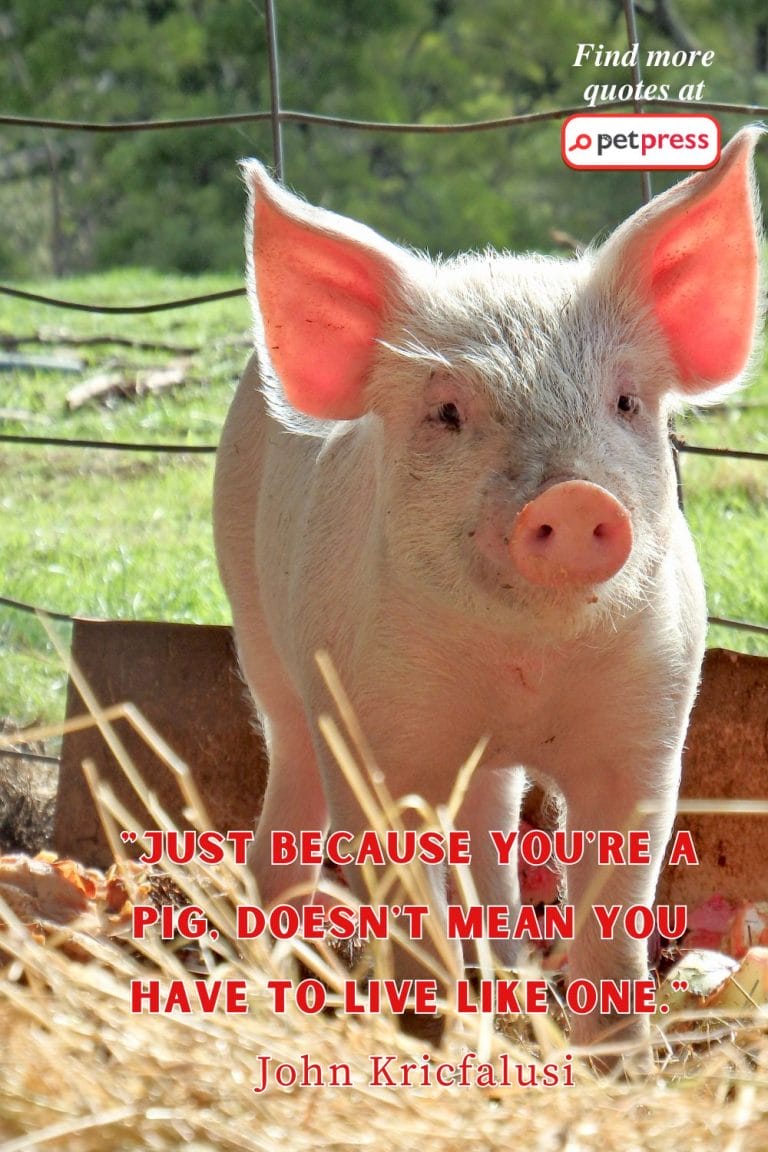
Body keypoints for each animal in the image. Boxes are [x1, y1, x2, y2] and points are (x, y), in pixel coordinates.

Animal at [214, 128, 763, 1056]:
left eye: (626, 400)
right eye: (447, 412)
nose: (574, 499)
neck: (519, 668)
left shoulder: (649, 721)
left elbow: (616, 907)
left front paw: (620, 1060)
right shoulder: (379, 725)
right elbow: (406, 901)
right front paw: (429, 1041)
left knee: (492, 833)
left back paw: (511, 983)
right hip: (261, 635)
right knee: (292, 787)